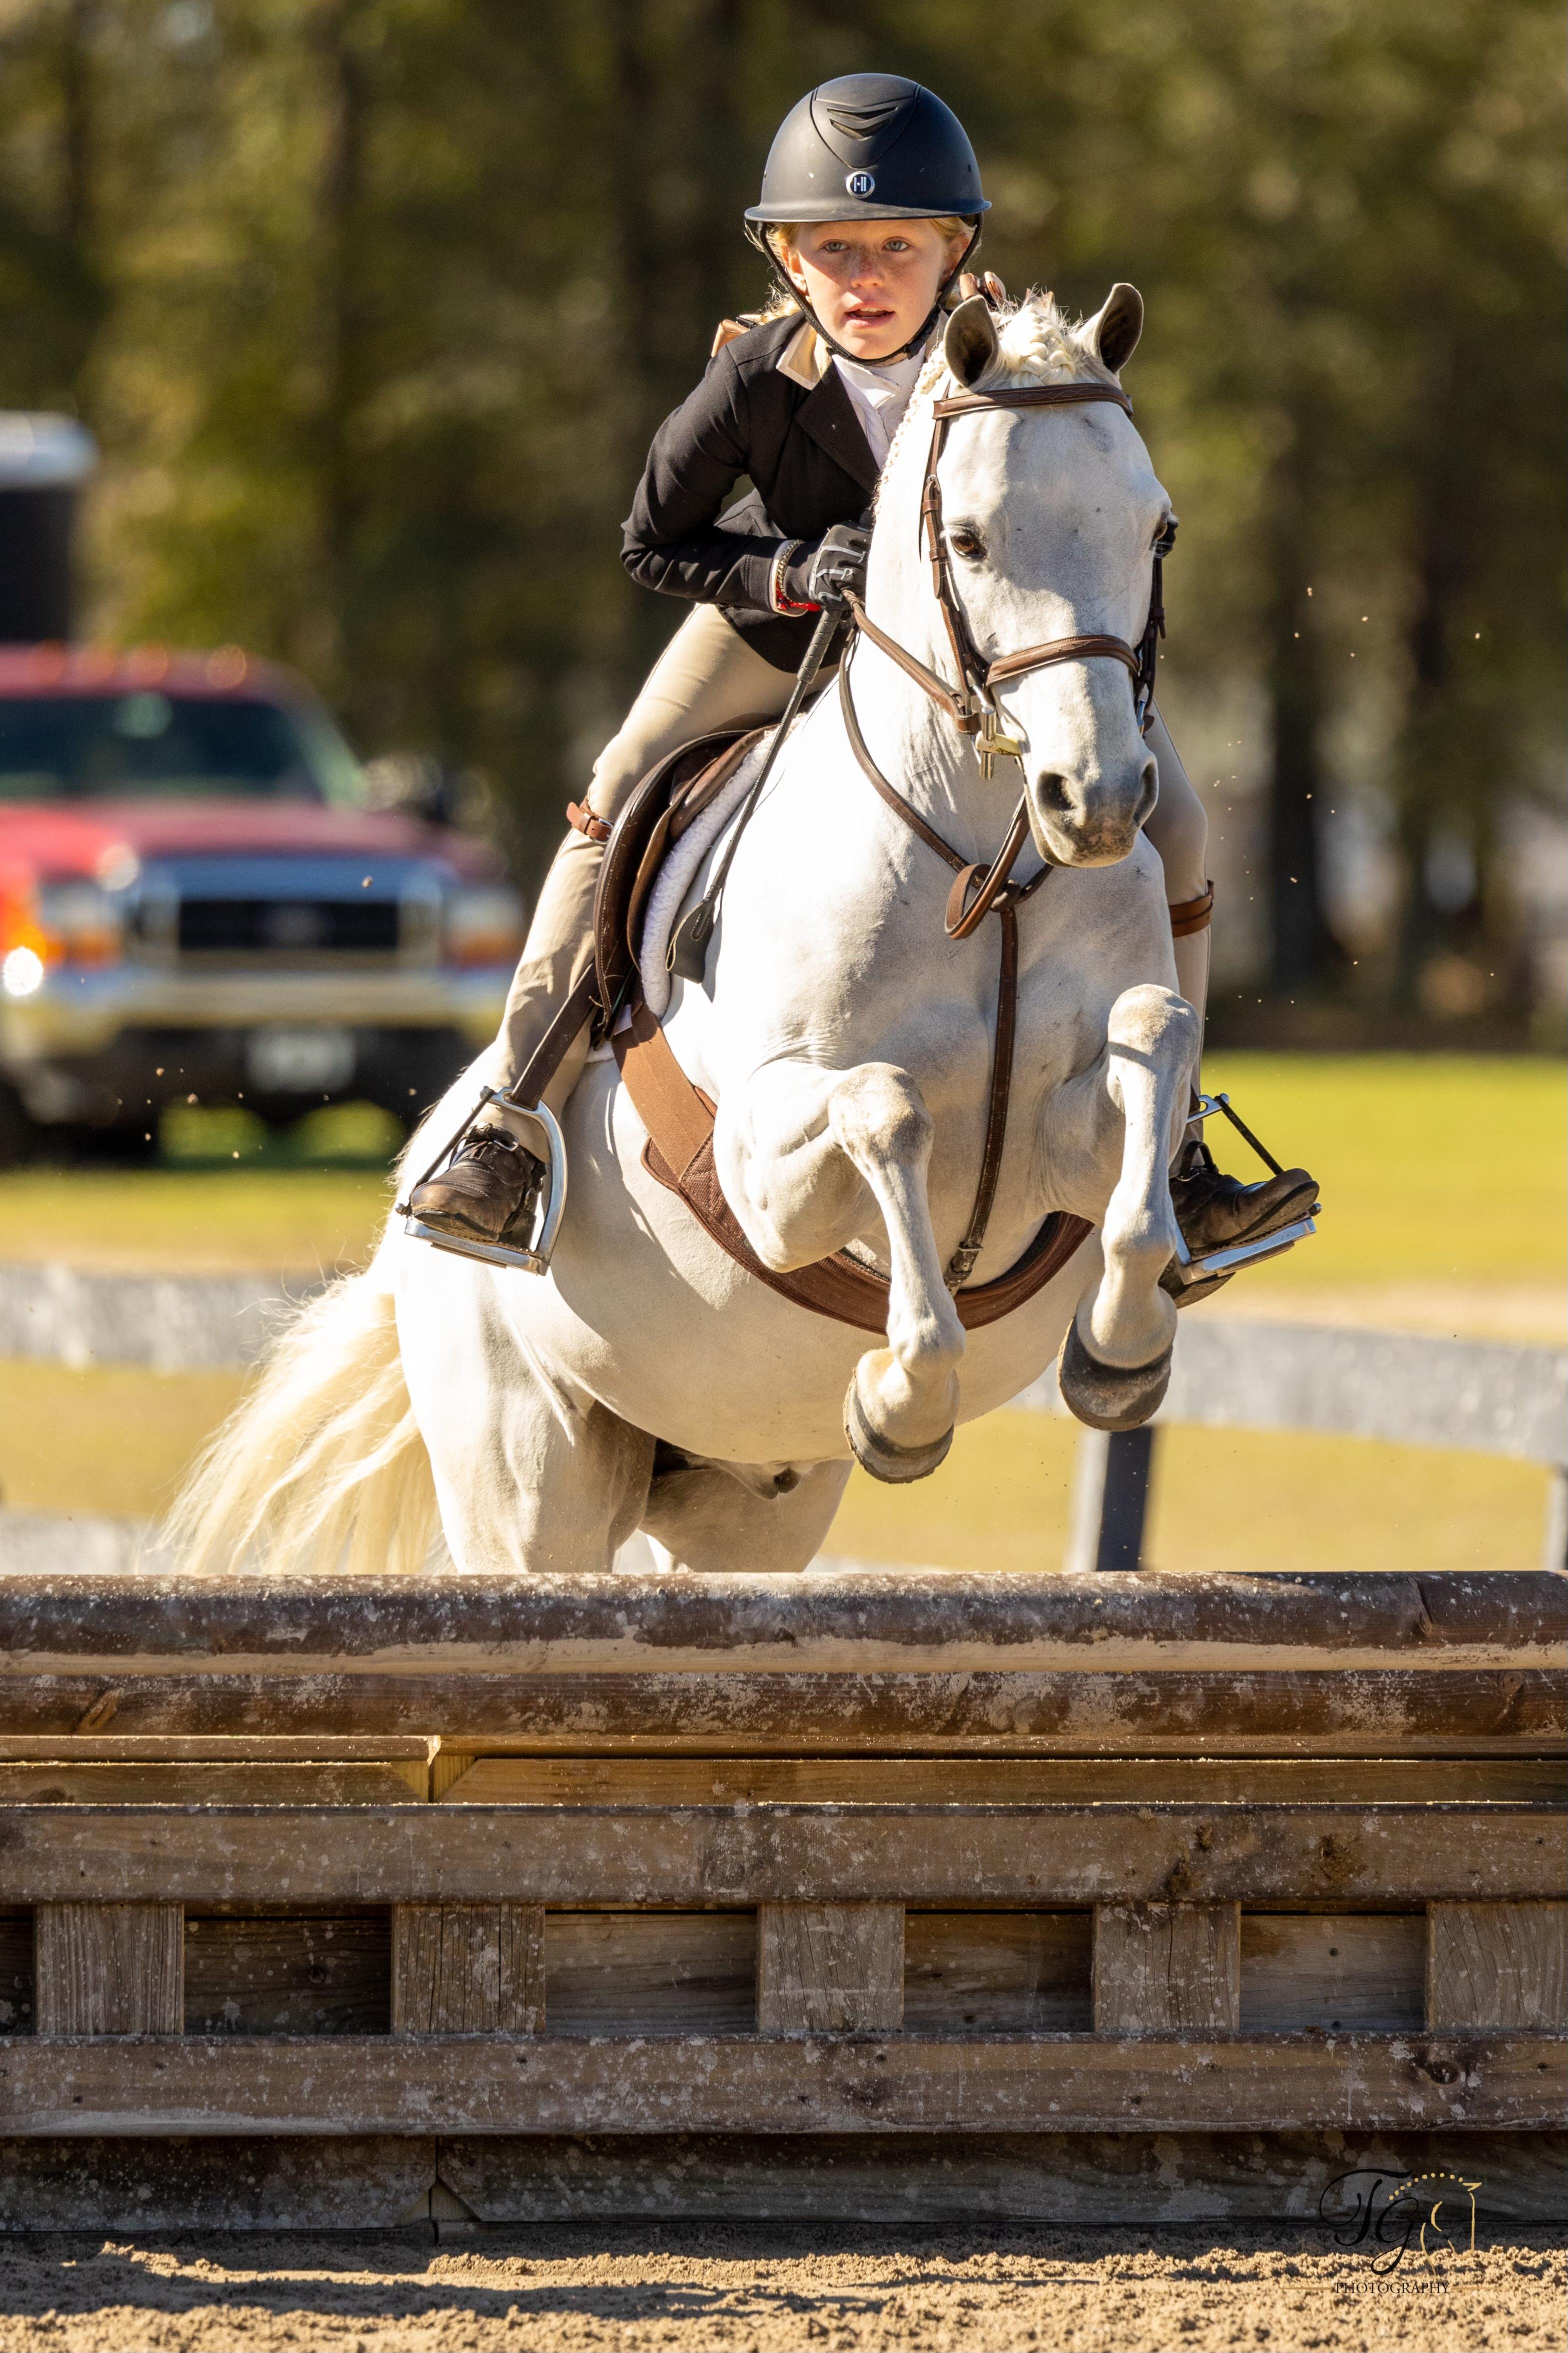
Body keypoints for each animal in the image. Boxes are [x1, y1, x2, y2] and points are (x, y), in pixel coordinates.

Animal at [169, 284, 1199, 1579]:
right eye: (968, 540)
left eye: (1155, 531)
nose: (1093, 799)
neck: (982, 862)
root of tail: (403, 1233)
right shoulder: (761, 1172)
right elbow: (889, 1106)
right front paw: (902, 1400)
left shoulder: (1055, 1150)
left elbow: (1150, 1046)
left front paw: (1120, 1346)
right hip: (528, 1482)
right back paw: (481, 1175)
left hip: (746, 1505)